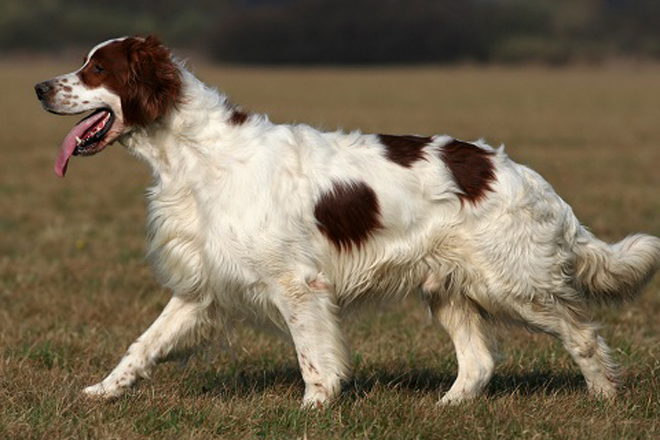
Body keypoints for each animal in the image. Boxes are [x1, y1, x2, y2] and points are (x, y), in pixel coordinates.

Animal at [34, 35, 660, 406]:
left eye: (96, 68)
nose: (38, 87)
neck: (196, 155)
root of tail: (523, 175)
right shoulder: (204, 286)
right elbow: (142, 345)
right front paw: (101, 391)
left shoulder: (297, 284)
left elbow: (314, 358)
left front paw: (314, 408)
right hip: (450, 288)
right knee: (479, 362)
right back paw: (448, 406)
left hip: (513, 284)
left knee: (582, 335)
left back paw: (605, 397)